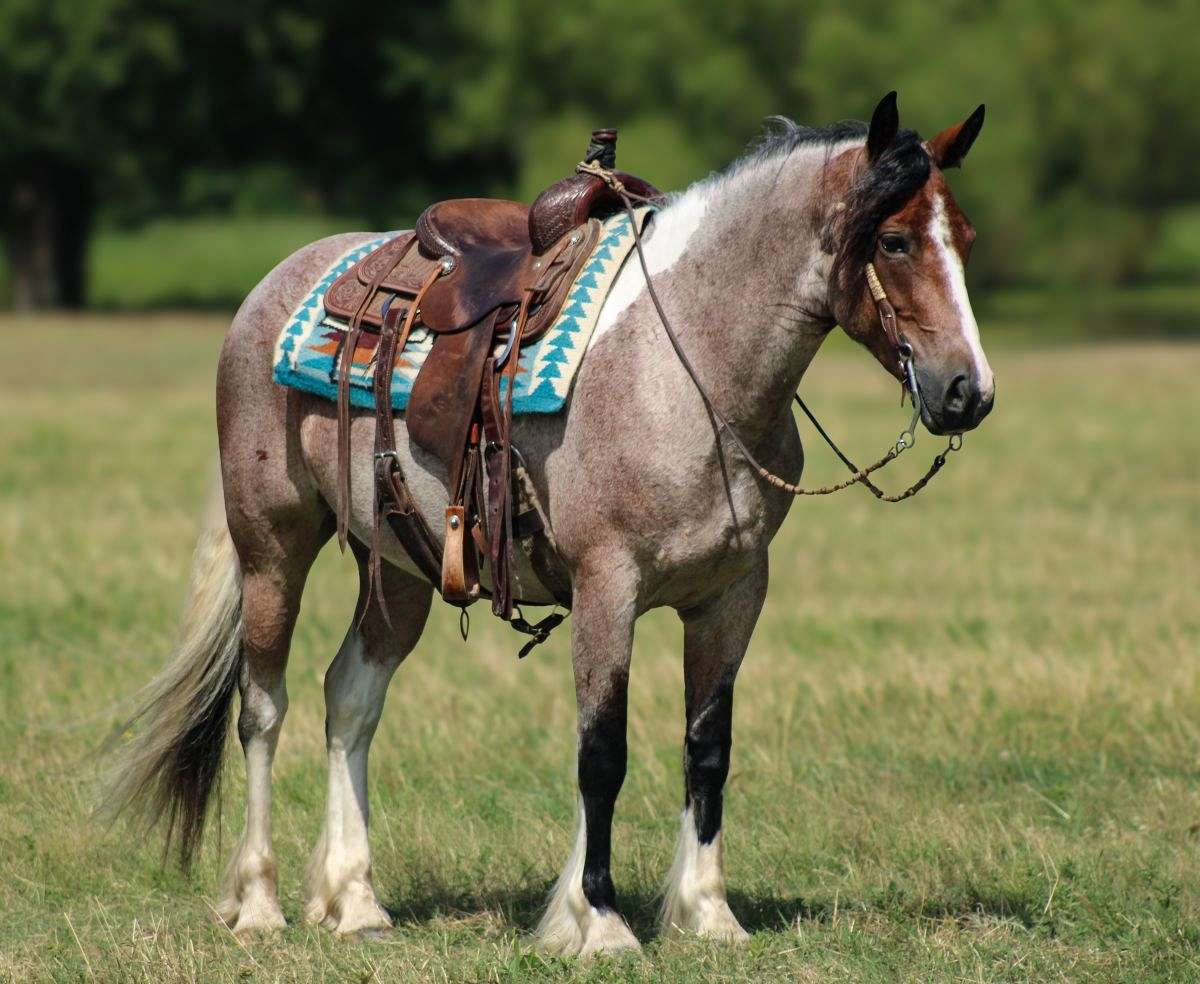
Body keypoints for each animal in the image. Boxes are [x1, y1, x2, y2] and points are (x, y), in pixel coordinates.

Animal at [103, 92, 994, 956]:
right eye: (894, 240)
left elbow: (707, 751)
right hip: (273, 544)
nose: (967, 392)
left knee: (349, 698)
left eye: (965, 239)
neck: (684, 367)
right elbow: (602, 755)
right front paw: (598, 922)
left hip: (398, 565)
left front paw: (707, 914)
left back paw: (354, 902)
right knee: (263, 708)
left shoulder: (733, 596)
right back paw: (259, 904)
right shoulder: (608, 587)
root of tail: (275, 284)